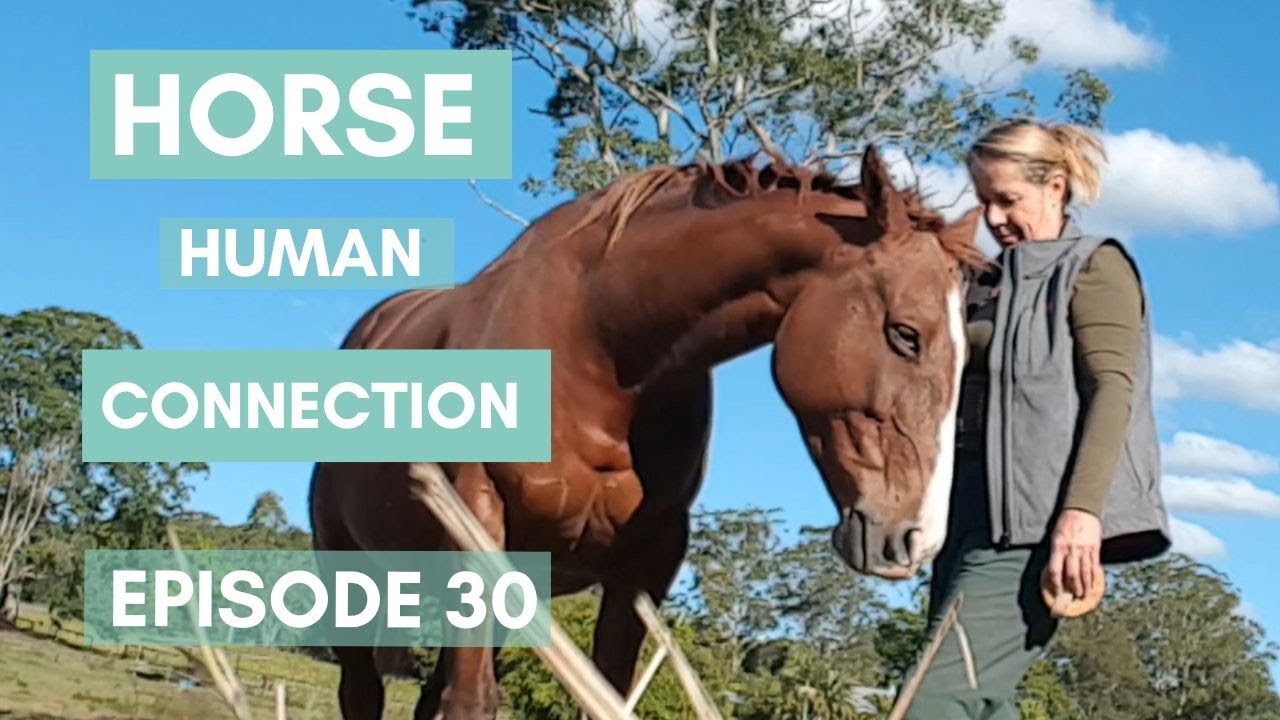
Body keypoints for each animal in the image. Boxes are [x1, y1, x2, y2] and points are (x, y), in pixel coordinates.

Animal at [308, 144, 987, 720]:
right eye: (905, 334)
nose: (915, 540)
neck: (596, 346)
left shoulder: (647, 562)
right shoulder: (477, 521)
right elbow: (471, 702)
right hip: (353, 579)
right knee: (363, 692)